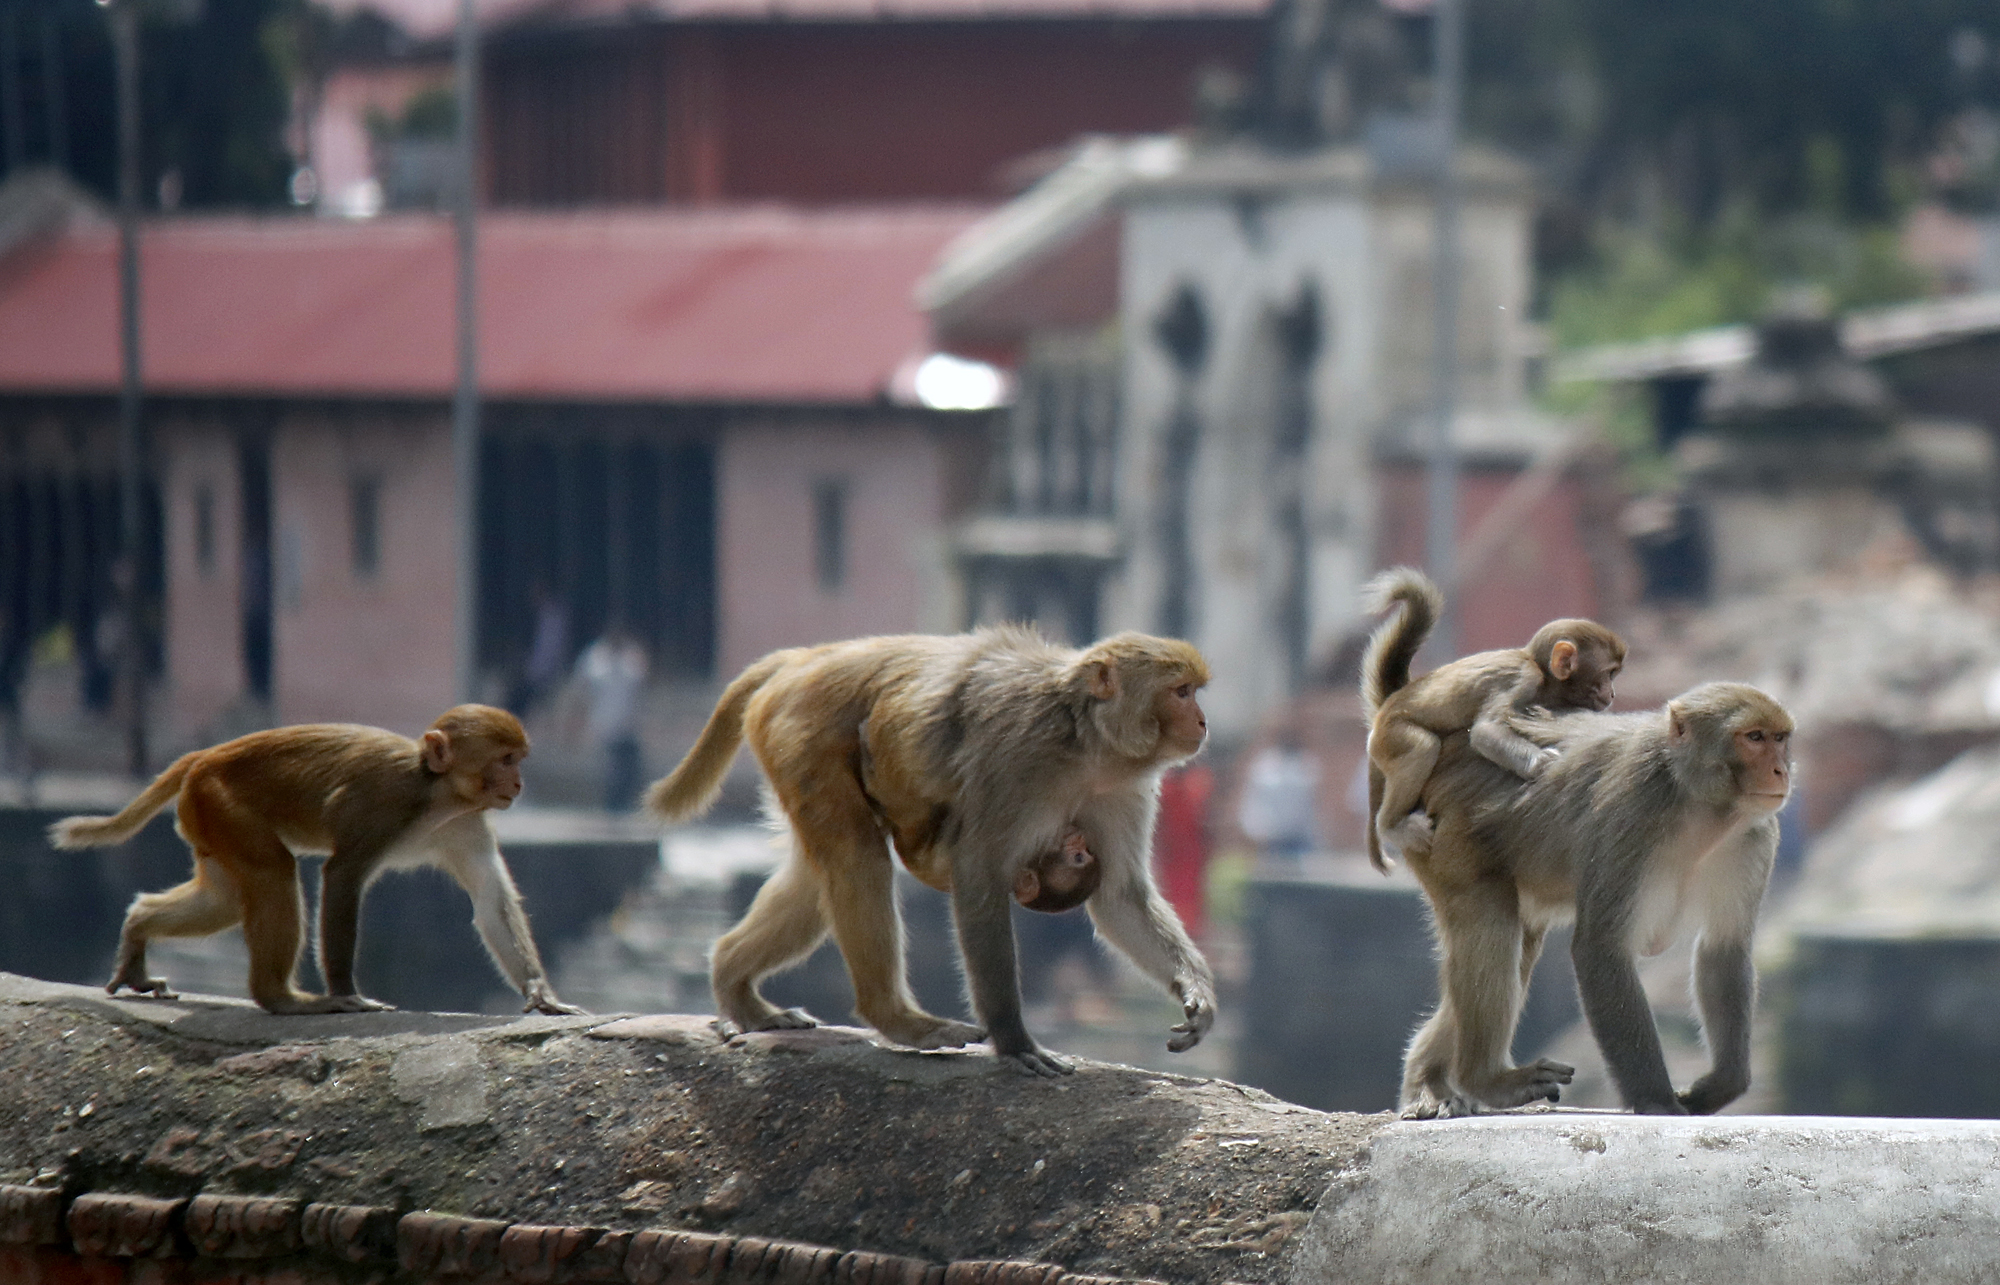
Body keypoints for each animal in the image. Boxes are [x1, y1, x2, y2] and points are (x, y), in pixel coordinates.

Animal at [48, 705, 583, 1018]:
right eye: (506, 759)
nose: (519, 784)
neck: (437, 793)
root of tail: (205, 756)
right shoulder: (382, 805)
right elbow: (342, 875)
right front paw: (346, 991)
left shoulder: (468, 824)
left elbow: (491, 899)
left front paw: (541, 994)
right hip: (223, 805)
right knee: (273, 876)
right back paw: (281, 998)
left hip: (207, 821)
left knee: (223, 899)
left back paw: (138, 929)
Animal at [1359, 567, 1625, 872]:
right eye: (1609, 673)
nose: (1612, 693)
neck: (1540, 670)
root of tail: (1388, 706)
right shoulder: (1523, 679)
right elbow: (1485, 731)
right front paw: (1542, 763)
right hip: (1392, 735)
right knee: (1421, 747)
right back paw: (1390, 826)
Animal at [1393, 681, 1793, 1118]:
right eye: (1754, 738)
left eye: (1780, 739)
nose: (1782, 771)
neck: (1700, 806)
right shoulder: (1632, 813)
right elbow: (1600, 949)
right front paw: (1656, 1100)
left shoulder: (1755, 837)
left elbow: (1723, 950)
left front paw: (1720, 1085)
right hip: (1444, 834)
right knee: (1491, 925)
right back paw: (1487, 1080)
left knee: (1517, 946)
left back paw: (1428, 1078)